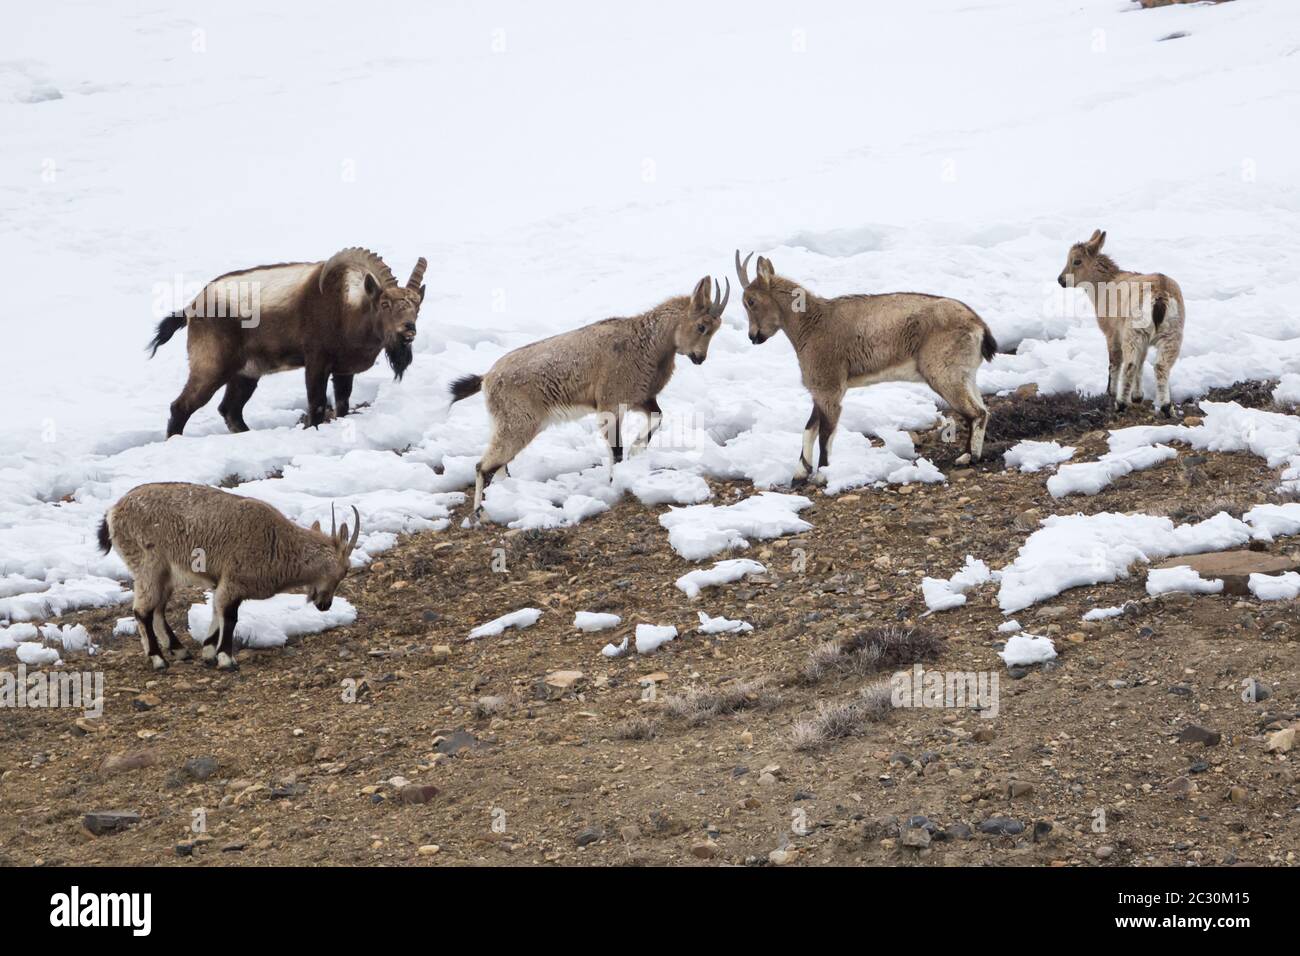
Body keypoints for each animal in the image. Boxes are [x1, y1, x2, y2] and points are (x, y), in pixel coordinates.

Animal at [97, 482, 359, 671]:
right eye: (345, 570)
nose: (325, 605)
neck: (280, 544)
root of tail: (113, 513)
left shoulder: (222, 583)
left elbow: (217, 611)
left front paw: (208, 652)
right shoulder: (234, 581)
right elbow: (230, 616)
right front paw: (226, 658)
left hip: (165, 574)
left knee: (158, 610)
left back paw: (178, 649)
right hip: (149, 566)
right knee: (143, 611)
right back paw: (158, 659)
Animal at [149, 249, 427, 436]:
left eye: (416, 305)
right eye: (385, 303)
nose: (408, 329)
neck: (348, 308)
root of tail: (192, 307)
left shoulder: (343, 370)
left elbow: (342, 404)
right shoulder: (316, 361)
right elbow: (316, 404)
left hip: (246, 373)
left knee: (230, 410)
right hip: (212, 367)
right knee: (181, 406)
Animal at [448, 275, 729, 521]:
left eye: (716, 328)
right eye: (702, 326)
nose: (699, 358)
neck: (647, 344)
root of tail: (487, 379)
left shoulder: (640, 398)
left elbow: (657, 417)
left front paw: (637, 449)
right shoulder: (611, 404)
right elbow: (616, 450)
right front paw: (615, 484)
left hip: (506, 423)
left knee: (499, 466)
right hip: (519, 423)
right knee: (483, 466)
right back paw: (481, 513)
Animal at [734, 251, 996, 481]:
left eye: (750, 301)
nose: (753, 337)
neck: (810, 325)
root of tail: (979, 325)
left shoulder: (829, 387)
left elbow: (825, 433)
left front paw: (822, 475)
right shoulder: (820, 390)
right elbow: (809, 429)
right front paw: (799, 474)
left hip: (943, 373)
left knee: (976, 412)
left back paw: (966, 457)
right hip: (965, 375)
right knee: (984, 410)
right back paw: (974, 454)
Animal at [1058, 230, 1185, 416]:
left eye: (1077, 261)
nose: (1061, 280)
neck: (1105, 285)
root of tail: (1160, 297)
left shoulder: (1112, 332)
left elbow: (1115, 361)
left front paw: (1110, 391)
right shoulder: (1144, 341)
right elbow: (1141, 362)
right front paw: (1138, 396)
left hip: (1133, 331)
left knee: (1130, 365)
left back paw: (1121, 403)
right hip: (1171, 332)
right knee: (1161, 366)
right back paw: (1166, 407)